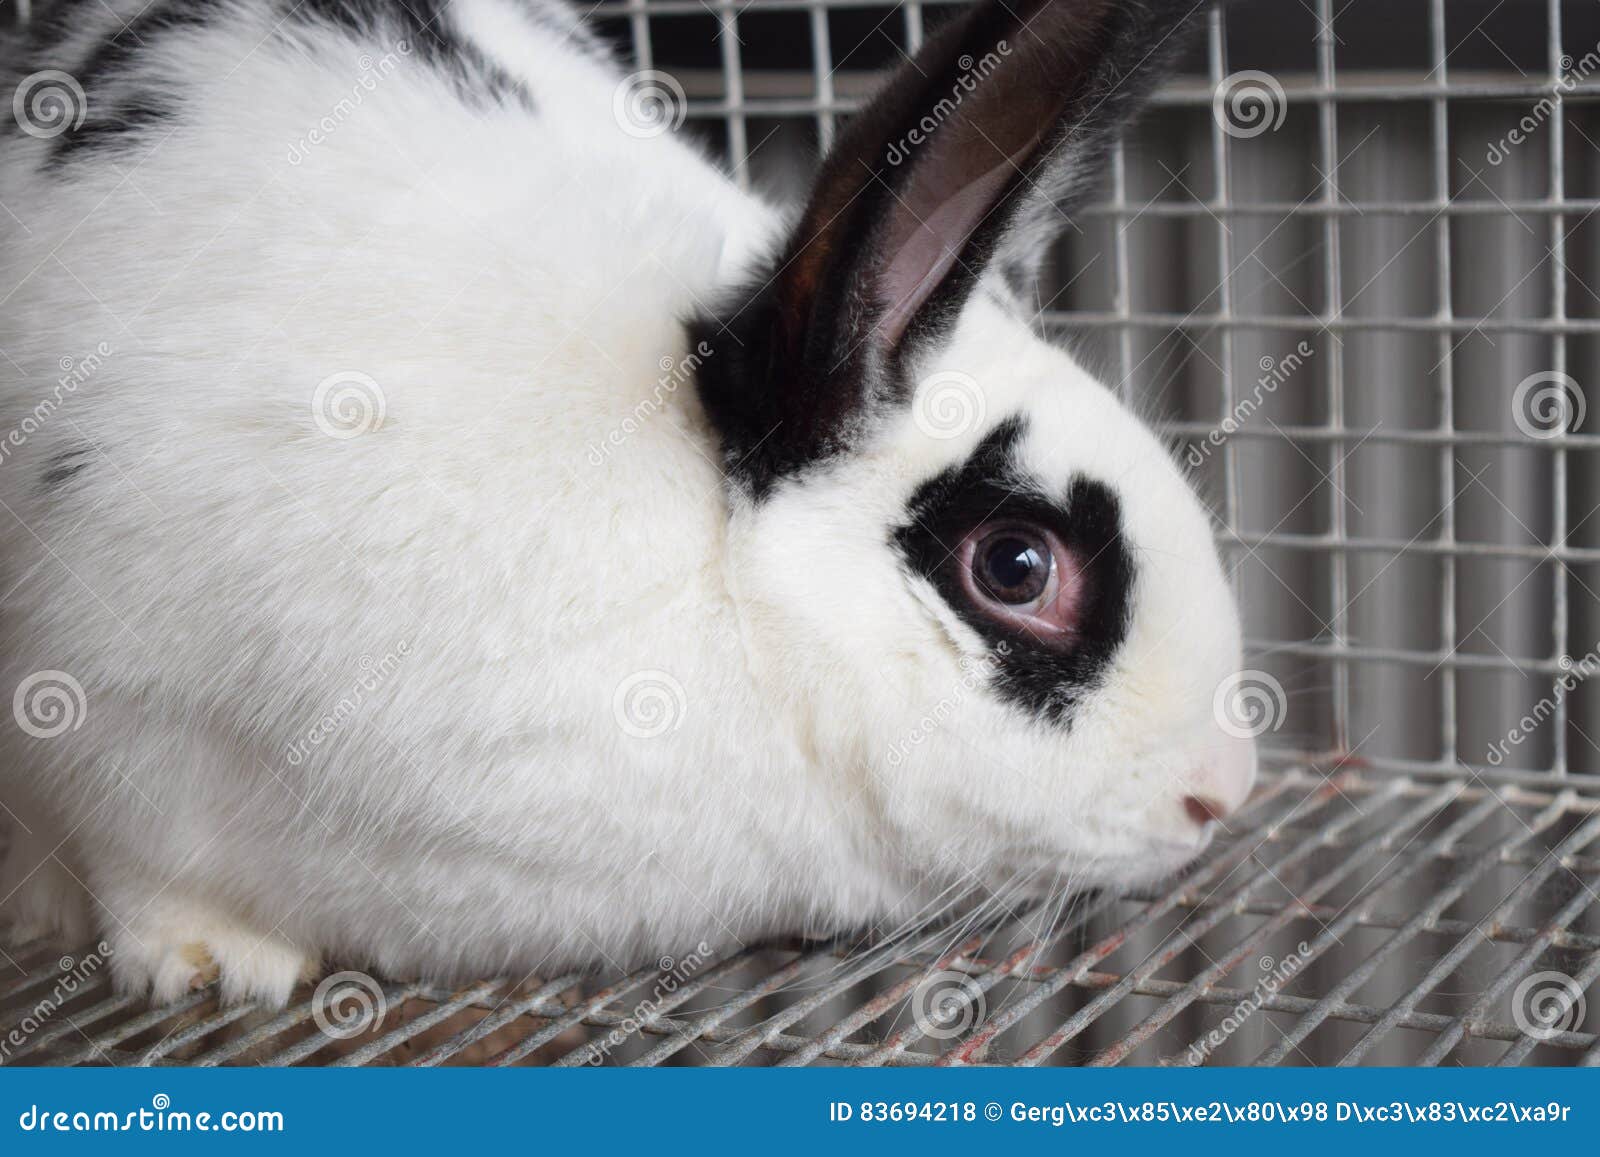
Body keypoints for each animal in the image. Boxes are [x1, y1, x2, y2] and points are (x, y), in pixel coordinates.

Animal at [0, 0, 1256, 1008]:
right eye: (1016, 566)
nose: (1220, 794)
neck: (714, 564)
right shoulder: (115, 680)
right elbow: (142, 853)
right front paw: (209, 963)